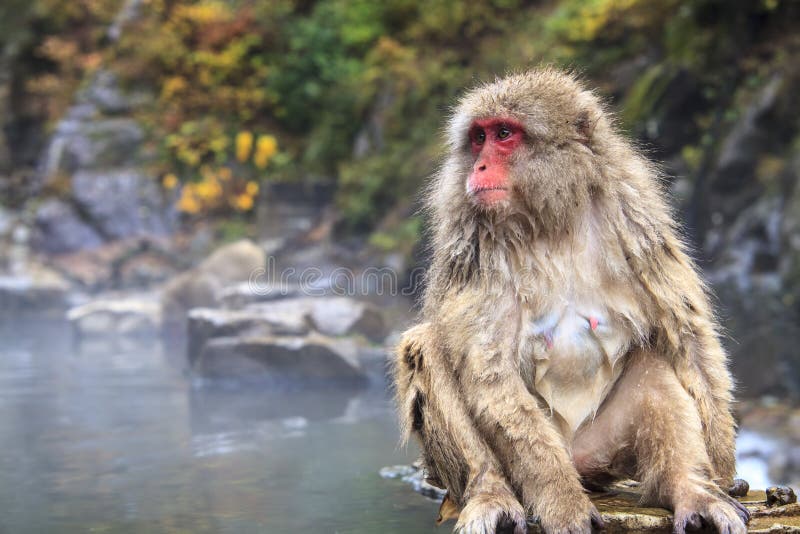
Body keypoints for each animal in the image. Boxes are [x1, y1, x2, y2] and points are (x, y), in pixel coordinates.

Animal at [392, 68, 750, 534]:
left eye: (504, 134)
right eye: (478, 137)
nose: (479, 165)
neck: (549, 219)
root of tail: (578, 461)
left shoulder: (634, 215)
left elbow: (683, 330)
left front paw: (723, 470)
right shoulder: (470, 243)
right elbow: (490, 373)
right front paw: (562, 505)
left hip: (602, 449)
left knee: (653, 364)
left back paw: (690, 489)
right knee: (428, 347)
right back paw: (492, 493)